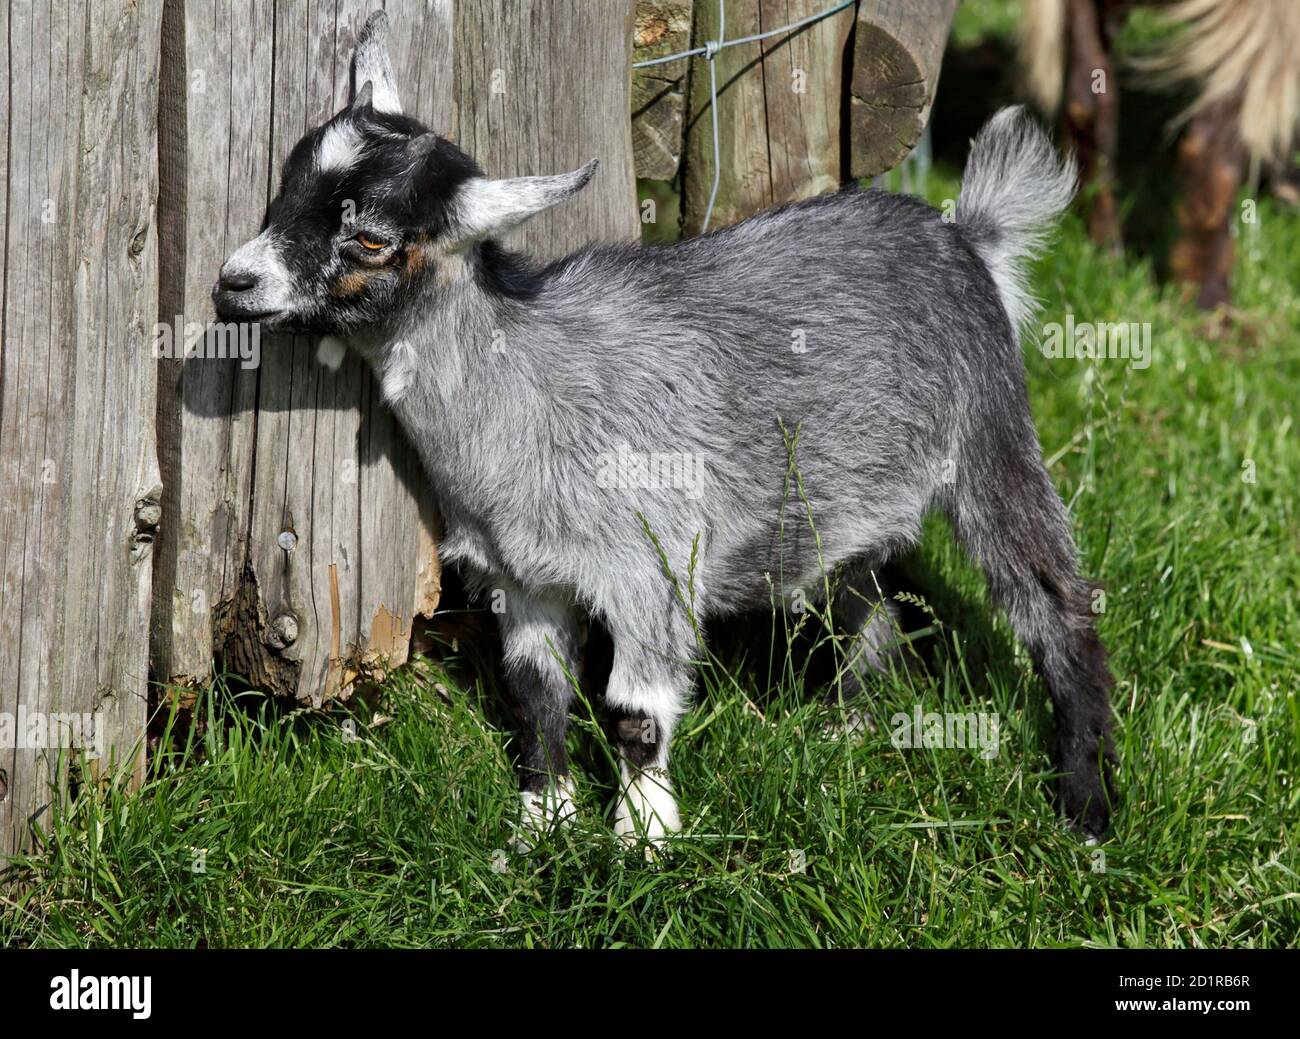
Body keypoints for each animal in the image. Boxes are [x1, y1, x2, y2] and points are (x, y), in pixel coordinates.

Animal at [214, 12, 1116, 847]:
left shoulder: (653, 564)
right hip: (840, 503)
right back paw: (847, 725)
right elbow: (536, 693)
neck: (526, 384)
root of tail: (964, 234)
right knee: (868, 603)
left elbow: (632, 711)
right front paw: (542, 823)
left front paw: (643, 839)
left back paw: (1085, 802)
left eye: (371, 238)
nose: (233, 284)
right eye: (284, 188)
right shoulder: (523, 573)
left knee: (1055, 600)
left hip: (991, 433)